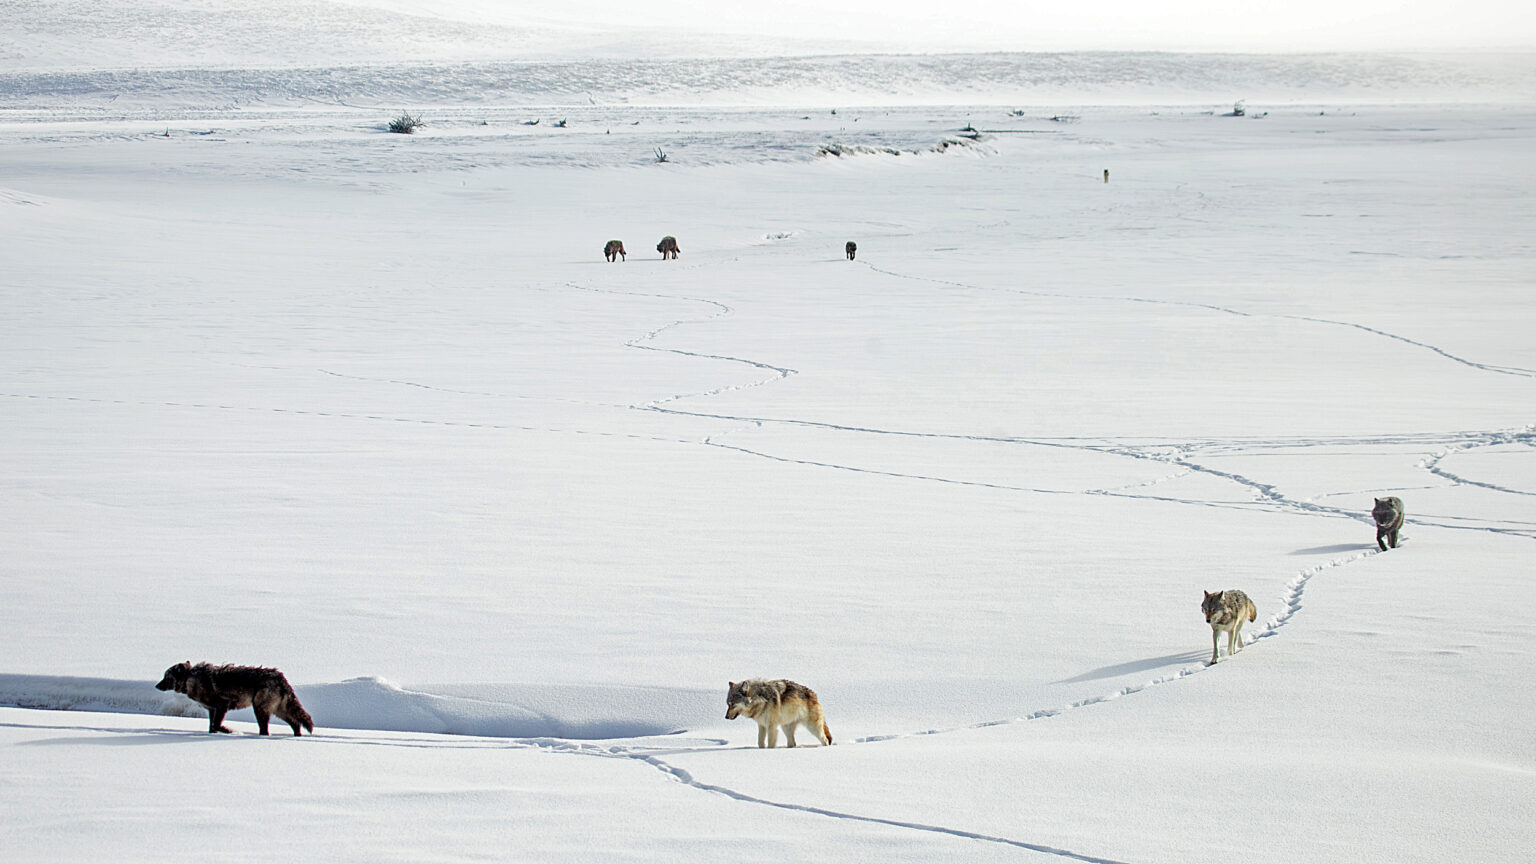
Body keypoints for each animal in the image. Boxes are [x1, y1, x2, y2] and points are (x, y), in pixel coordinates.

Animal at [156, 661, 314, 736]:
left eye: (166, 677)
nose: (156, 686)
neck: (190, 678)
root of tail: (280, 677)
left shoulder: (222, 706)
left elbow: (216, 725)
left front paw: (229, 731)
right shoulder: (212, 710)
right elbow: (211, 727)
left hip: (261, 710)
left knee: (266, 730)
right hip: (278, 710)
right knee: (296, 723)